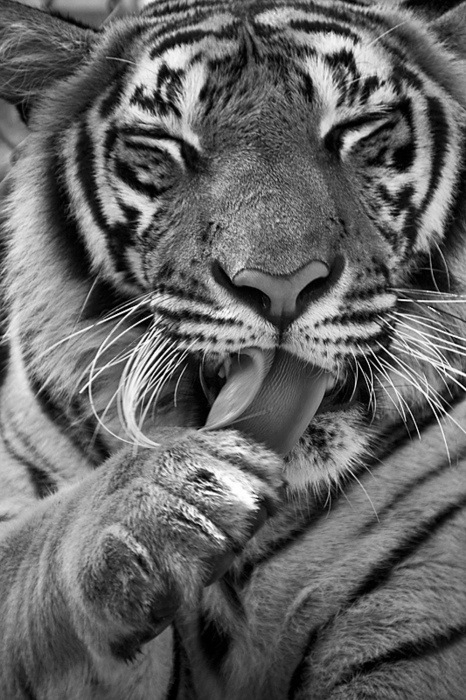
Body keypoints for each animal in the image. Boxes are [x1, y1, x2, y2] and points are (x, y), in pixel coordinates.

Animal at [0, 0, 466, 697]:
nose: (282, 286)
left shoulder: (419, 606)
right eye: (166, 147)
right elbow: (32, 546)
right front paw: (165, 500)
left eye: (357, 130)